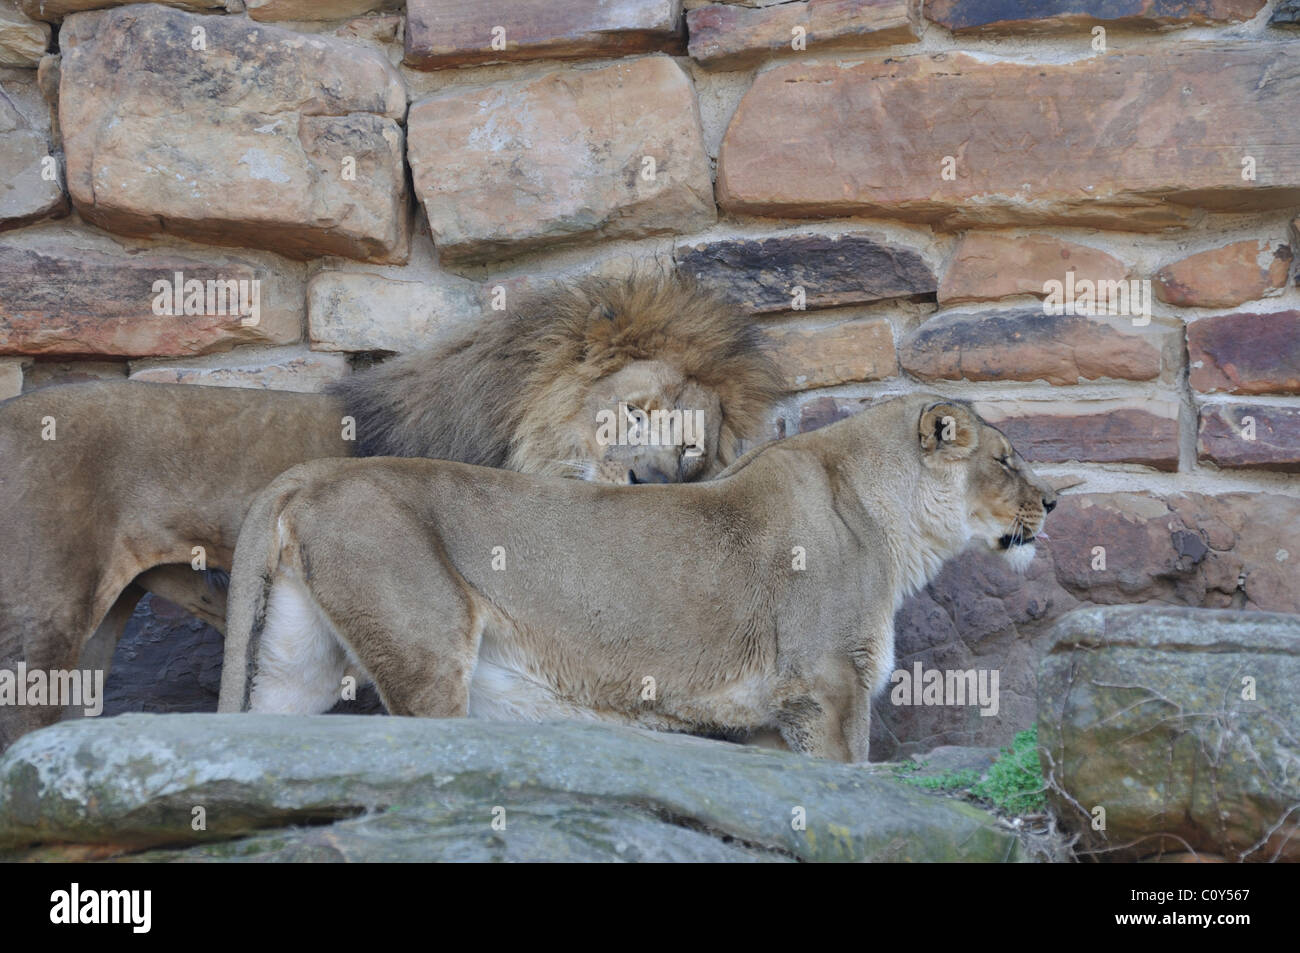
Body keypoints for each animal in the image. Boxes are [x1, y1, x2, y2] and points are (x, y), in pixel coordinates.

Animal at [217, 394, 1056, 763]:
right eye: (1006, 458)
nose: (1052, 501)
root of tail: (307, 474)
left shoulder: (775, 713)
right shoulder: (824, 683)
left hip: (293, 663)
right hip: (427, 651)